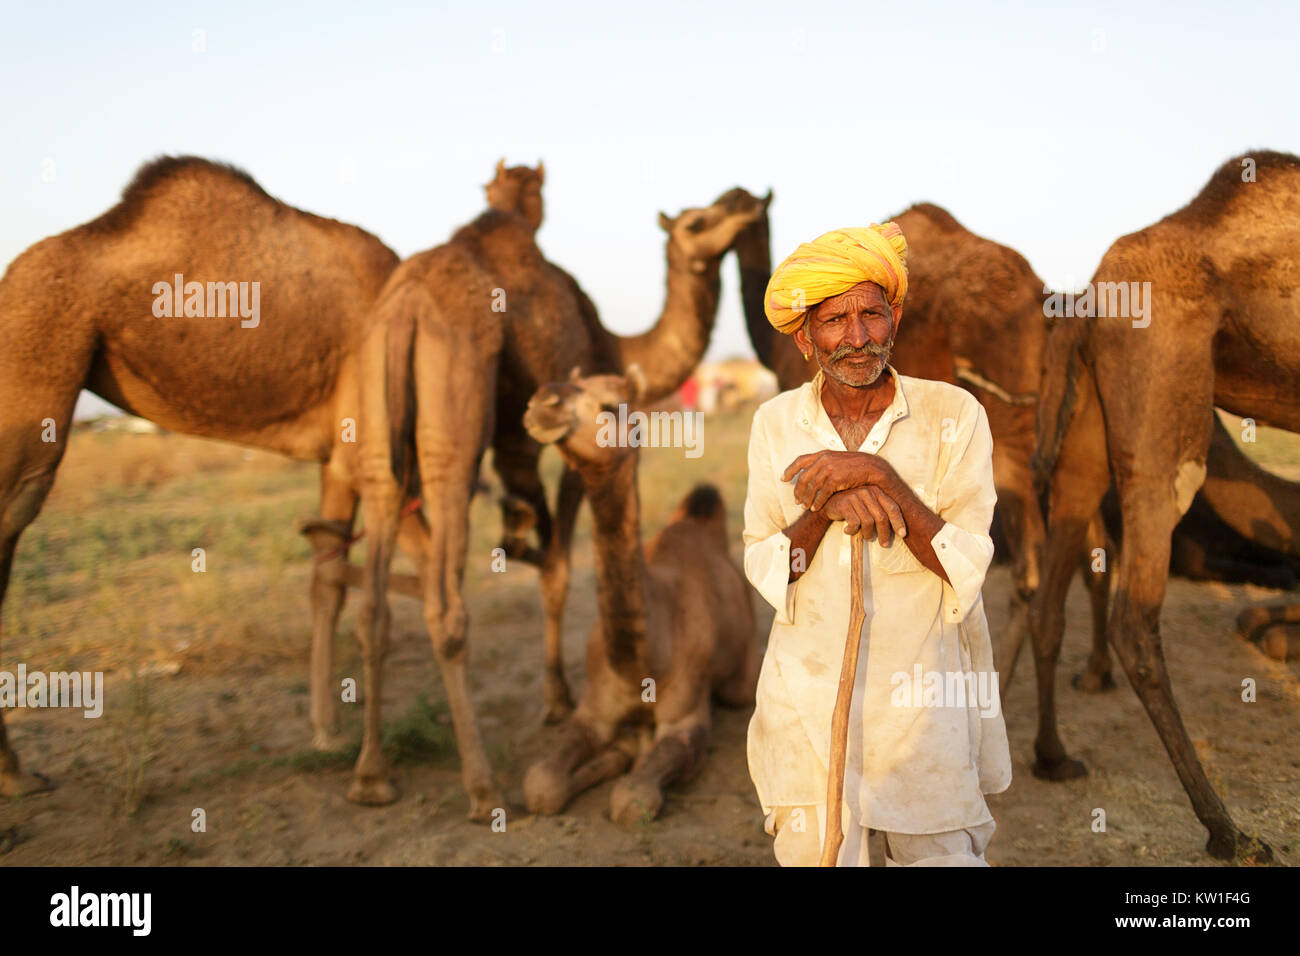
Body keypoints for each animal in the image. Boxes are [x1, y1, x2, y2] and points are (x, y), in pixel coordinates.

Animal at [518, 367, 758, 824]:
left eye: (611, 405)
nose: (542, 402)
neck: (645, 666)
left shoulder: (685, 719)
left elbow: (633, 798)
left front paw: (630, 760)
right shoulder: (592, 711)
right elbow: (540, 785)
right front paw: (616, 753)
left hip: (740, 685)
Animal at [1030, 149, 1300, 861]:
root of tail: (1088, 299)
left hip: (1088, 435)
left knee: (1050, 597)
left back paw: (1053, 758)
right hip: (1164, 398)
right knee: (1136, 618)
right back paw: (1229, 832)